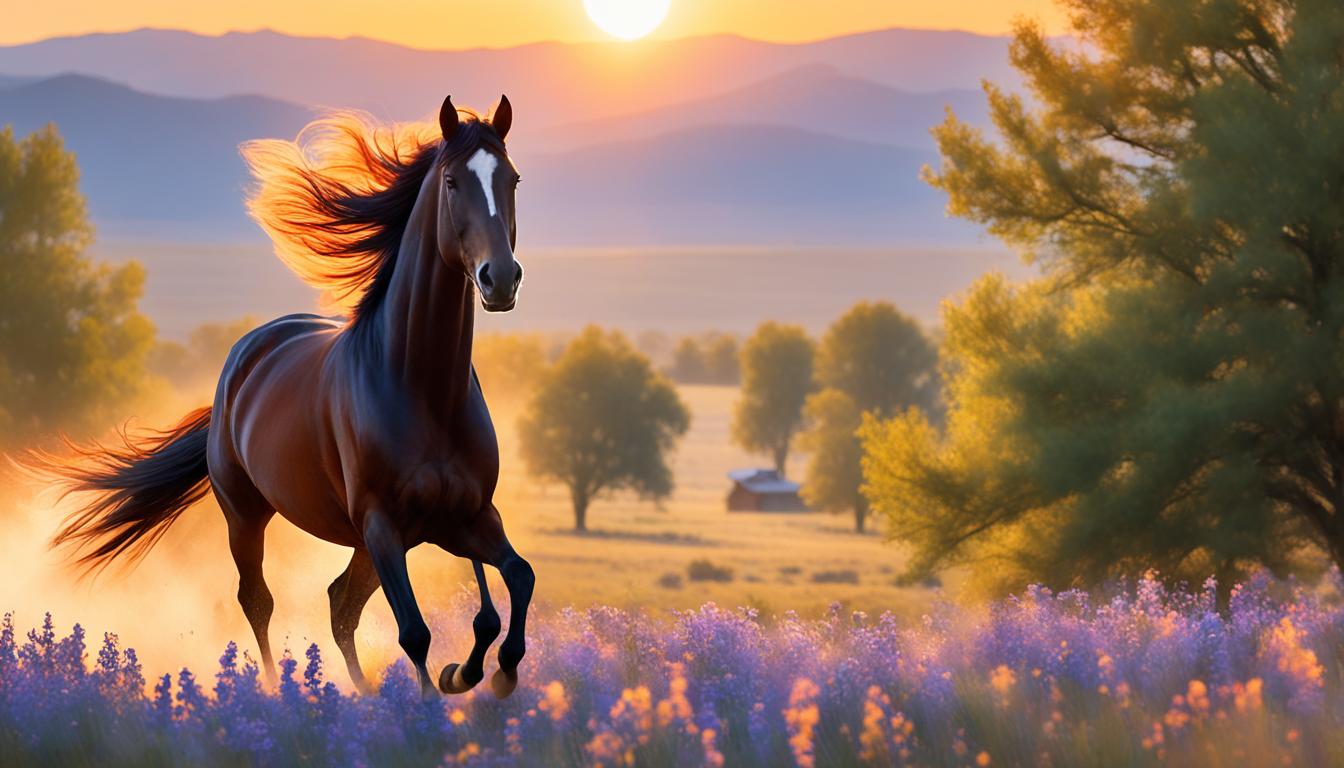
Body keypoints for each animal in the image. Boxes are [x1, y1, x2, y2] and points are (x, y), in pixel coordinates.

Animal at [31, 95, 533, 700]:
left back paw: (361, 691)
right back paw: (276, 690)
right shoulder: (383, 525)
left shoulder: (469, 516)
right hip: (247, 517)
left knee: (341, 604)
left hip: (368, 542)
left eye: (513, 178)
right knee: (260, 601)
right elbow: (415, 632)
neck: (423, 389)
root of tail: (244, 358)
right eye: (454, 181)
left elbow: (514, 584)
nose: (500, 278)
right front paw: (437, 696)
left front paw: (486, 672)